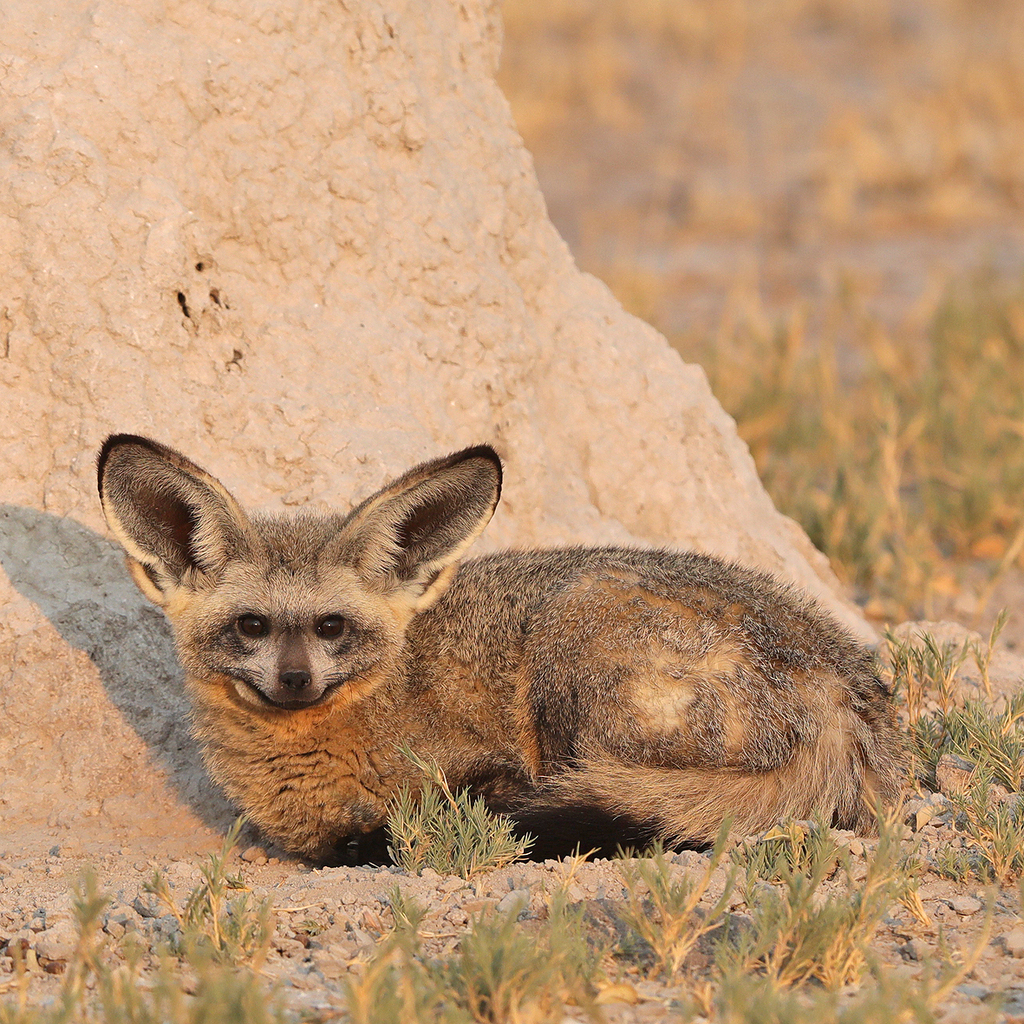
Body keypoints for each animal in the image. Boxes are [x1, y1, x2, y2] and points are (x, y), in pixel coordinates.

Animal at [96, 434, 905, 862]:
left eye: (331, 627)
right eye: (251, 626)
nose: (294, 680)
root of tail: (847, 691)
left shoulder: (486, 764)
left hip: (573, 644)